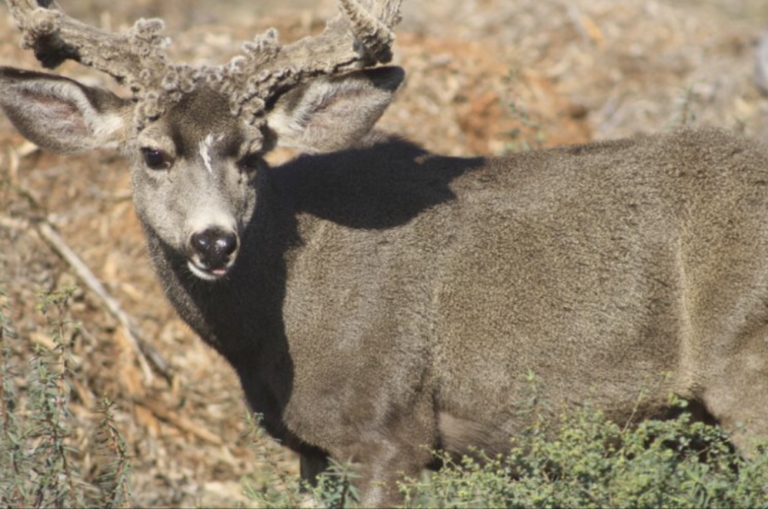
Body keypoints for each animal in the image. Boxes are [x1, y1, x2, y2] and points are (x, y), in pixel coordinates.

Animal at [2, 0, 768, 506]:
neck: (280, 324)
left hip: (746, 366)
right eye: (153, 153)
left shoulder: (389, 429)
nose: (213, 241)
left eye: (253, 154)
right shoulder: (313, 449)